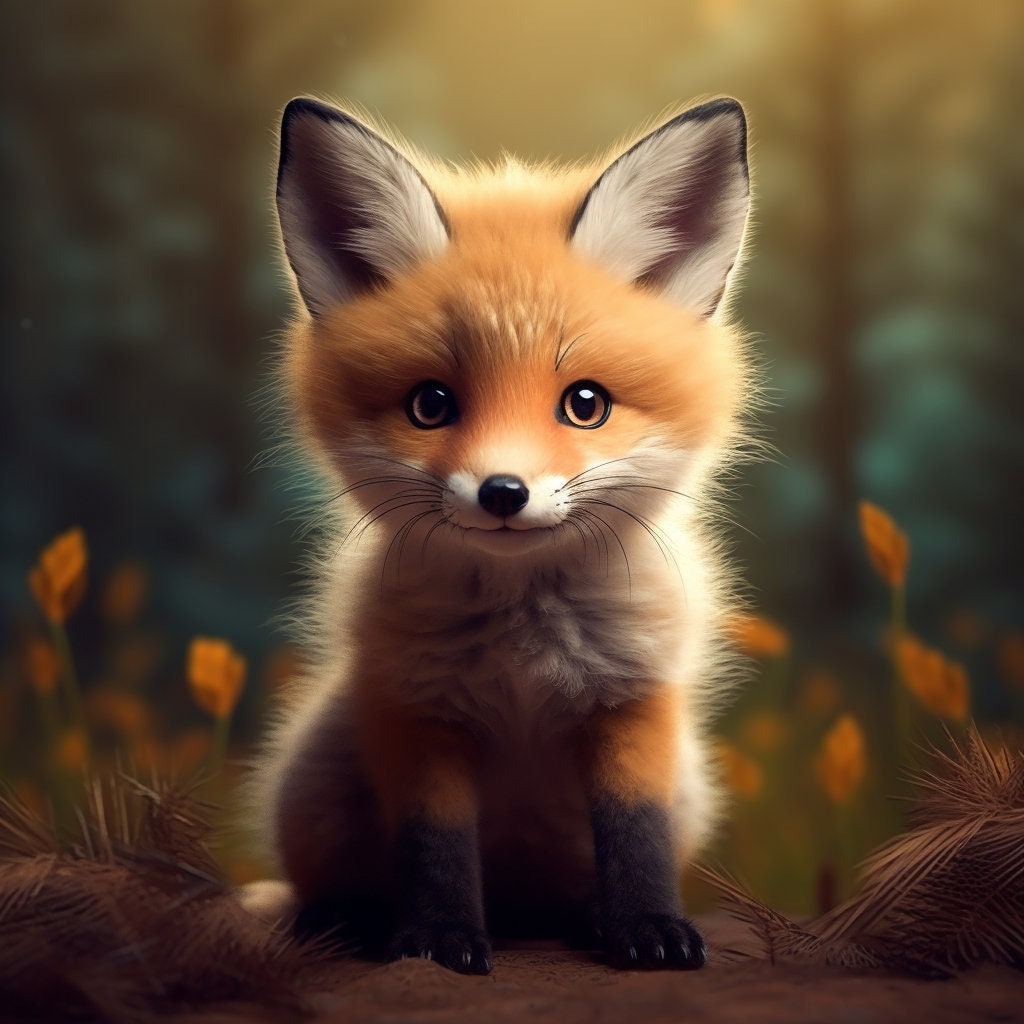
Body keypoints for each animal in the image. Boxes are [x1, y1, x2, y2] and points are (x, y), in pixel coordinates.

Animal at [244, 95, 754, 975]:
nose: (503, 492)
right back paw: (340, 921)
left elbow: (638, 835)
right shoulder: (418, 706)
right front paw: (435, 942)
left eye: (585, 404)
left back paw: (585, 918)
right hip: (315, 778)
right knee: (329, 885)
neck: (526, 647)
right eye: (430, 404)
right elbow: (435, 847)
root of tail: (519, 905)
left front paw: (647, 928)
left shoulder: (634, 699)